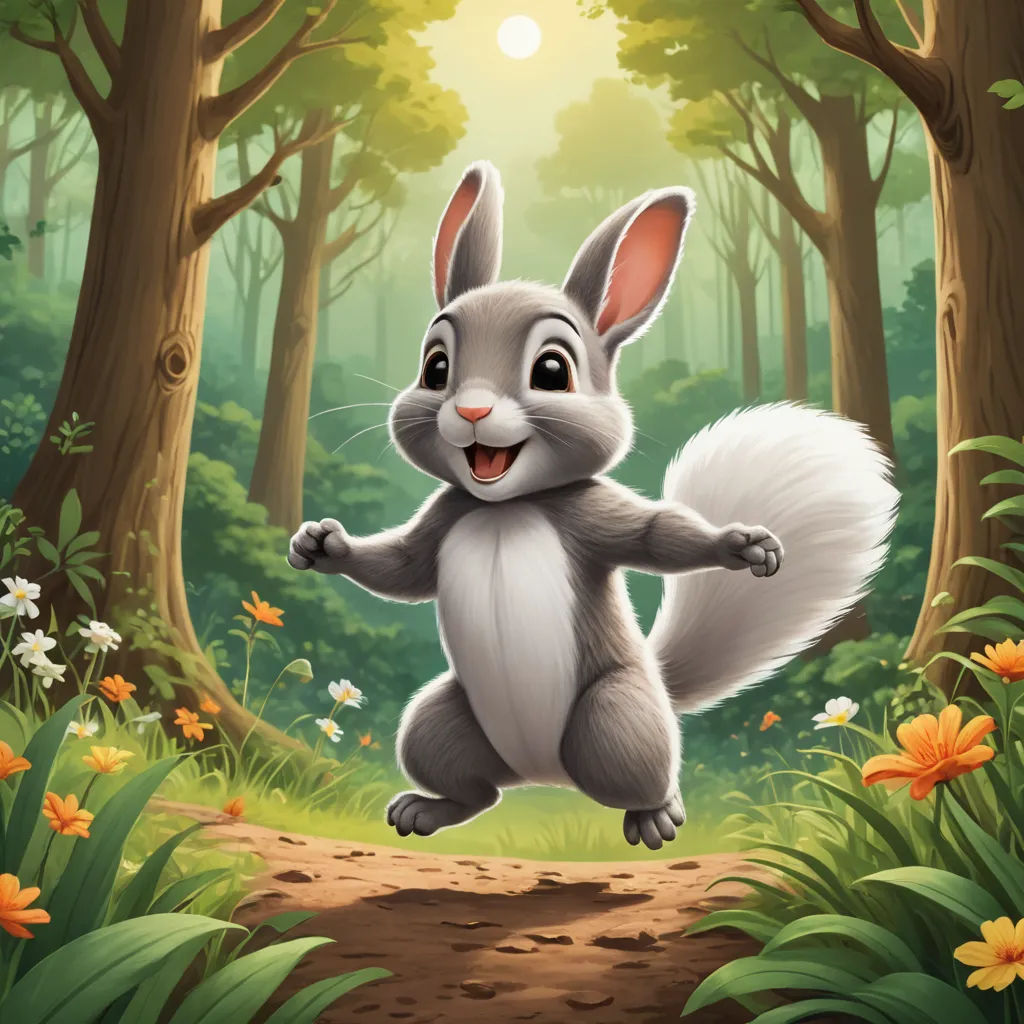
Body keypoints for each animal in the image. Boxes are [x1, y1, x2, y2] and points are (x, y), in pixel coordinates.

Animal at [288, 161, 899, 850]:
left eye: (553, 370)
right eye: (435, 368)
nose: (470, 410)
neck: (505, 507)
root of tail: (542, 776)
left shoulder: (591, 515)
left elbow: (656, 535)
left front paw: (743, 545)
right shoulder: (444, 517)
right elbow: (400, 569)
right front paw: (321, 544)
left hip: (617, 717)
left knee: (636, 773)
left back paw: (656, 815)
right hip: (439, 721)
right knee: (475, 788)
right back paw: (427, 809)